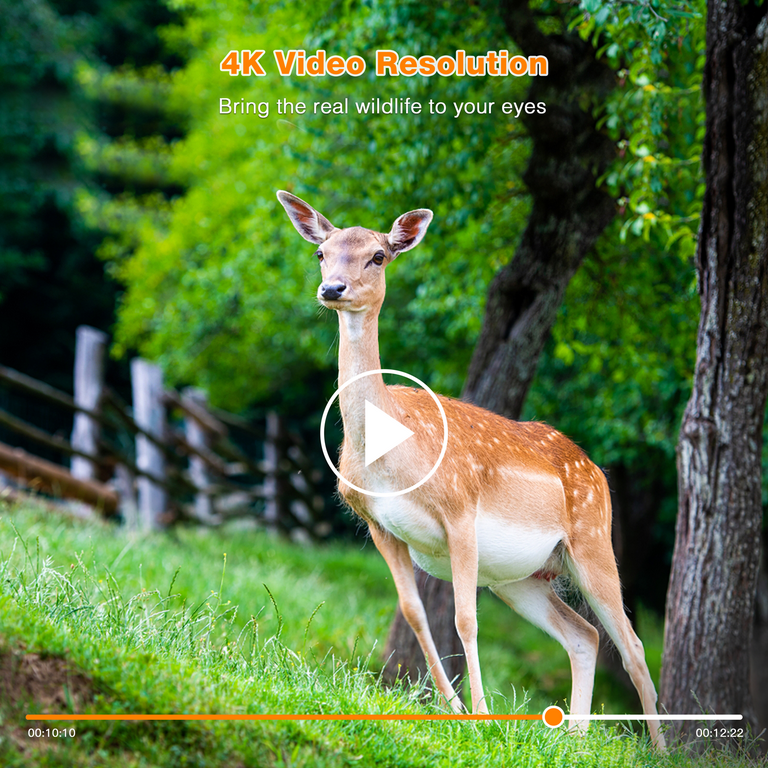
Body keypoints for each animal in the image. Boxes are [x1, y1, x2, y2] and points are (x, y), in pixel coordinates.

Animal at [277, 190, 666, 749]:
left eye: (378, 255)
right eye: (321, 253)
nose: (333, 288)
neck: (388, 454)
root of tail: (596, 470)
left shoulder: (460, 509)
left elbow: (464, 620)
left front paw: (480, 715)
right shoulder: (378, 525)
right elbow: (415, 615)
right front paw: (453, 708)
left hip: (593, 538)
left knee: (632, 646)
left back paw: (659, 748)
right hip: (520, 577)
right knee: (585, 634)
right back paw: (573, 738)